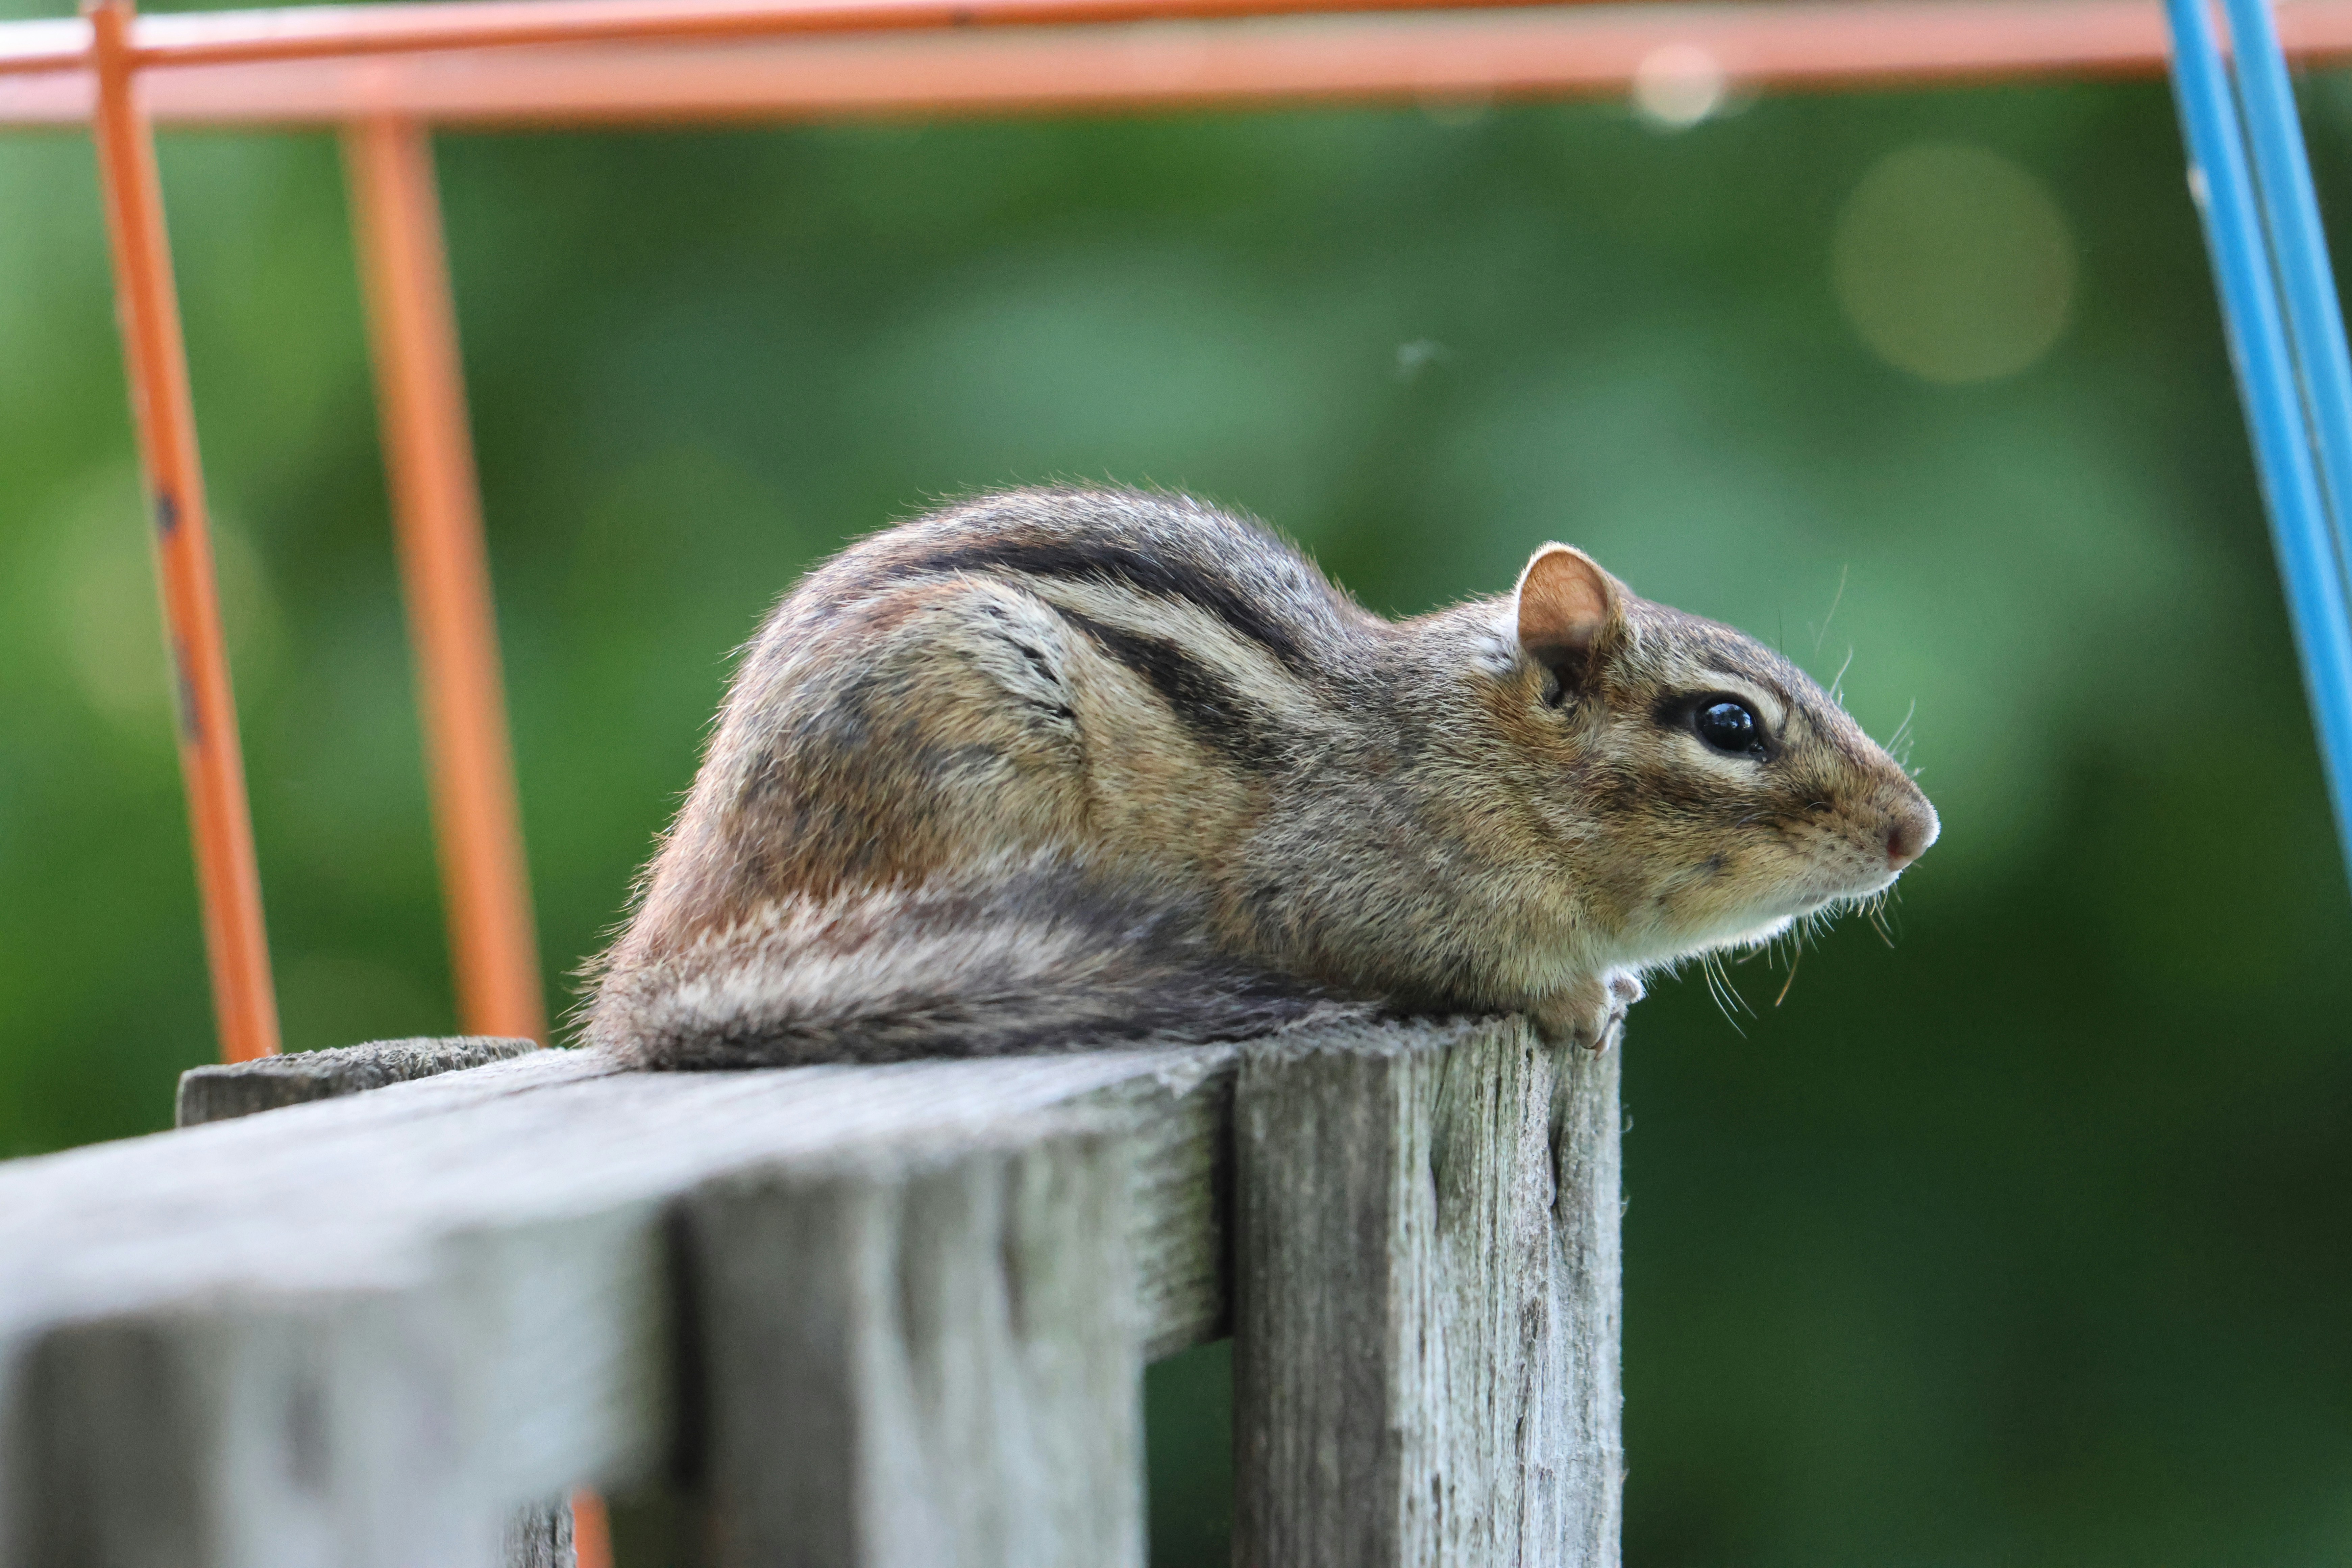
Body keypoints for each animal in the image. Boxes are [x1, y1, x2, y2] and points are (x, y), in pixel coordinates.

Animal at [585, 486, 1938, 1068]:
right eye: (1727, 722)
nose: (1914, 830)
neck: (1475, 758)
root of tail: (670, 938)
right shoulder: (1340, 887)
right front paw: (1565, 996)